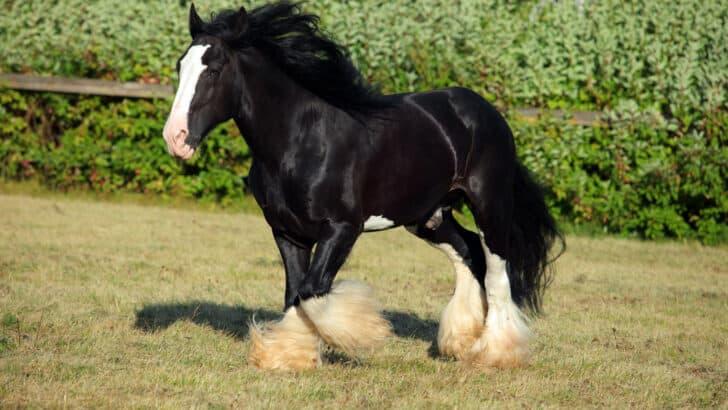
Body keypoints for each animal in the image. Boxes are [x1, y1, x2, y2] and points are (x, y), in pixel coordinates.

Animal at [162, 2, 562, 371]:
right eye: (181, 66)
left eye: (214, 70)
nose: (175, 138)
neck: (301, 141)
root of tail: (486, 112)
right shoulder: (287, 232)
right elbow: (295, 292)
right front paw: (289, 356)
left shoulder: (342, 228)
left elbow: (312, 292)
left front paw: (364, 333)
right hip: (428, 216)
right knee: (468, 251)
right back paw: (460, 342)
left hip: (489, 204)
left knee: (496, 272)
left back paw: (496, 353)